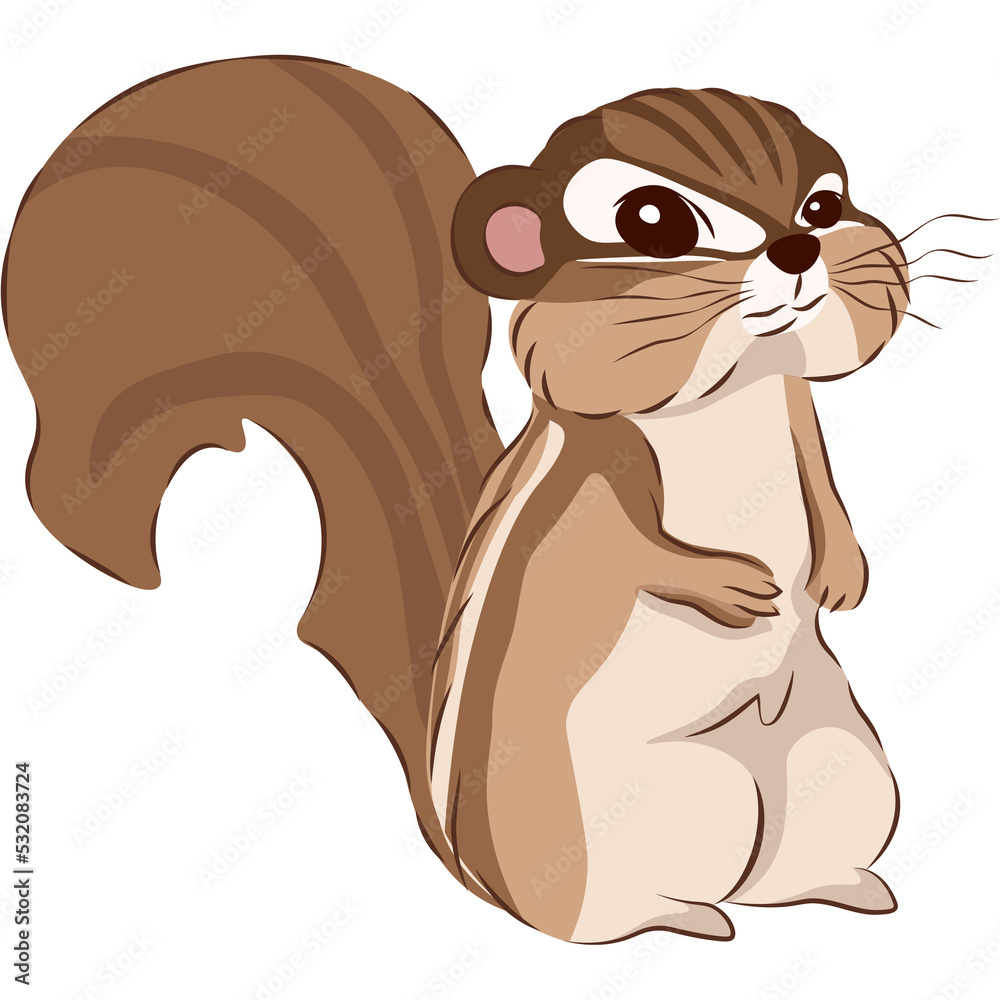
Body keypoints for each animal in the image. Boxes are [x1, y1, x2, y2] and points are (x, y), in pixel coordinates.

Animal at [5, 55, 929, 943]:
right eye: (652, 221)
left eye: (823, 202)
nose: (798, 248)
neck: (738, 392)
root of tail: (476, 870)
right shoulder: (602, 467)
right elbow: (628, 546)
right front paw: (725, 581)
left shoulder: (800, 422)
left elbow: (824, 489)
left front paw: (844, 571)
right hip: (656, 807)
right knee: (614, 913)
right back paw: (680, 917)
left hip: (841, 763)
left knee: (787, 871)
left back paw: (846, 888)